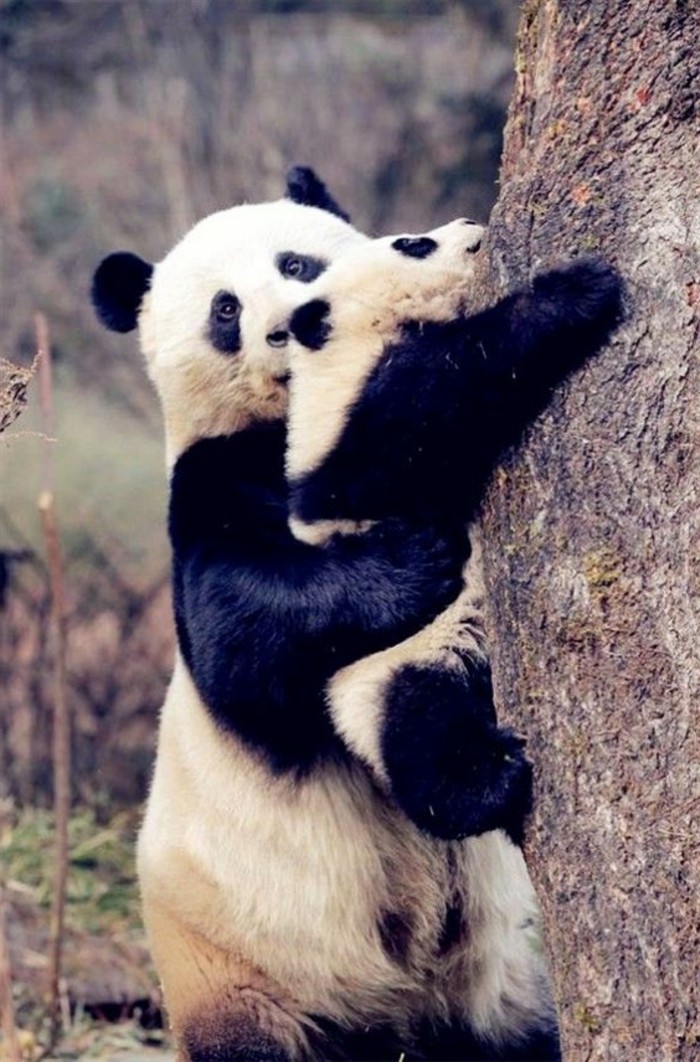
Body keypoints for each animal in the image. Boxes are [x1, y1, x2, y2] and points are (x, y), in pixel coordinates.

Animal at [92, 169, 561, 1061]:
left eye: (297, 261)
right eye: (225, 310)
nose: (285, 326)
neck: (288, 415)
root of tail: (401, 1022)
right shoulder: (209, 482)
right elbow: (237, 637)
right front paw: (413, 561)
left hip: (506, 992)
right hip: (247, 977)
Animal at [285, 222, 622, 849]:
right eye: (411, 243)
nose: (472, 228)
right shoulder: (353, 438)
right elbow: (440, 397)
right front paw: (573, 290)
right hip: (394, 666)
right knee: (424, 729)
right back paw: (489, 783)